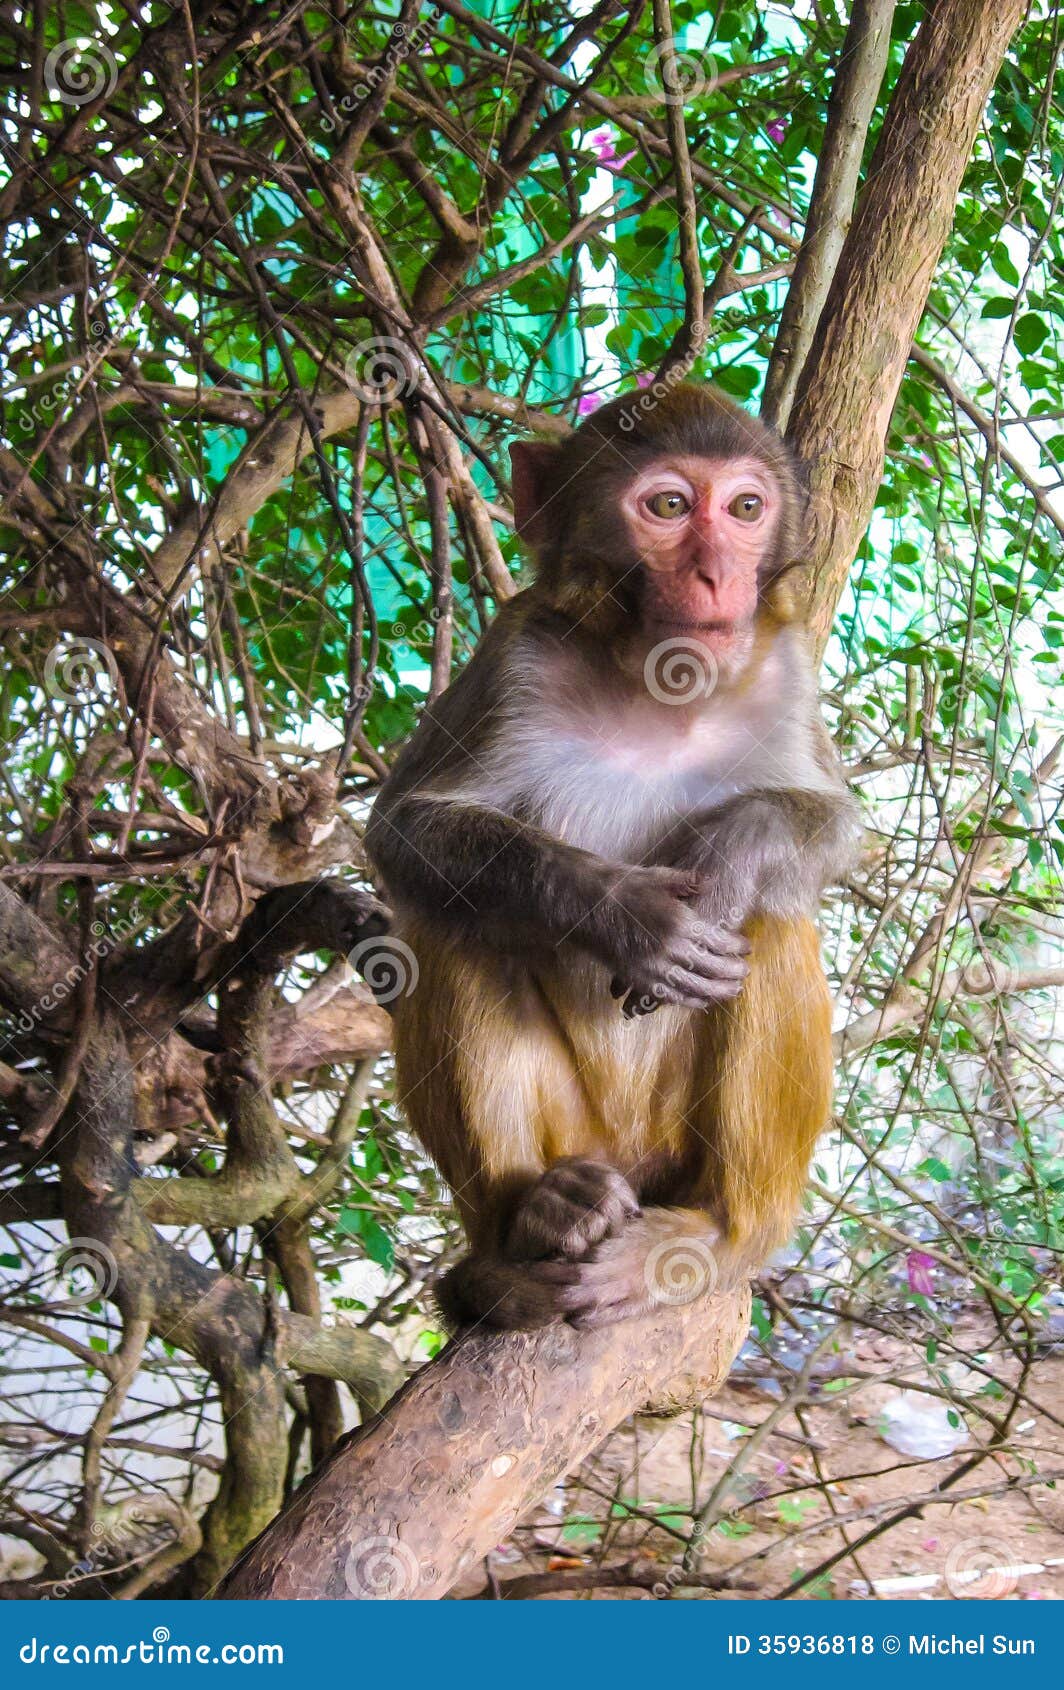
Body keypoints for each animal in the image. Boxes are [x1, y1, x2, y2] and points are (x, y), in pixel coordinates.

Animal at [364, 382, 861, 1330]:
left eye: (745, 510)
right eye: (667, 508)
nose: (717, 577)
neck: (661, 685)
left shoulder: (787, 670)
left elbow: (839, 826)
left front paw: (733, 853)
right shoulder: (515, 651)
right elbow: (405, 831)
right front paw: (625, 913)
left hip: (675, 1148)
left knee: (774, 921)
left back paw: (721, 1232)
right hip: (582, 1135)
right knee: (452, 927)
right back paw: (529, 1219)